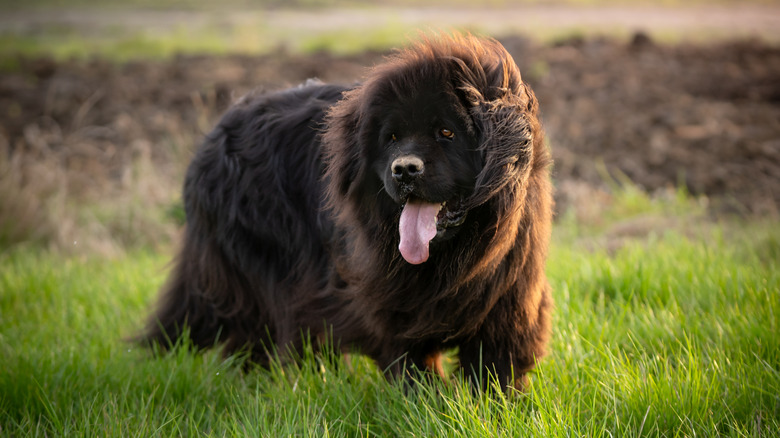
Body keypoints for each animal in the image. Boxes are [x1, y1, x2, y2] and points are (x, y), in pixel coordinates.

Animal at [142, 35, 556, 390]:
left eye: (447, 132)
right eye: (392, 138)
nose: (404, 169)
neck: (451, 259)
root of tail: (213, 137)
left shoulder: (508, 302)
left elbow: (497, 370)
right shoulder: (389, 303)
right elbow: (412, 363)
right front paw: (427, 402)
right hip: (272, 266)